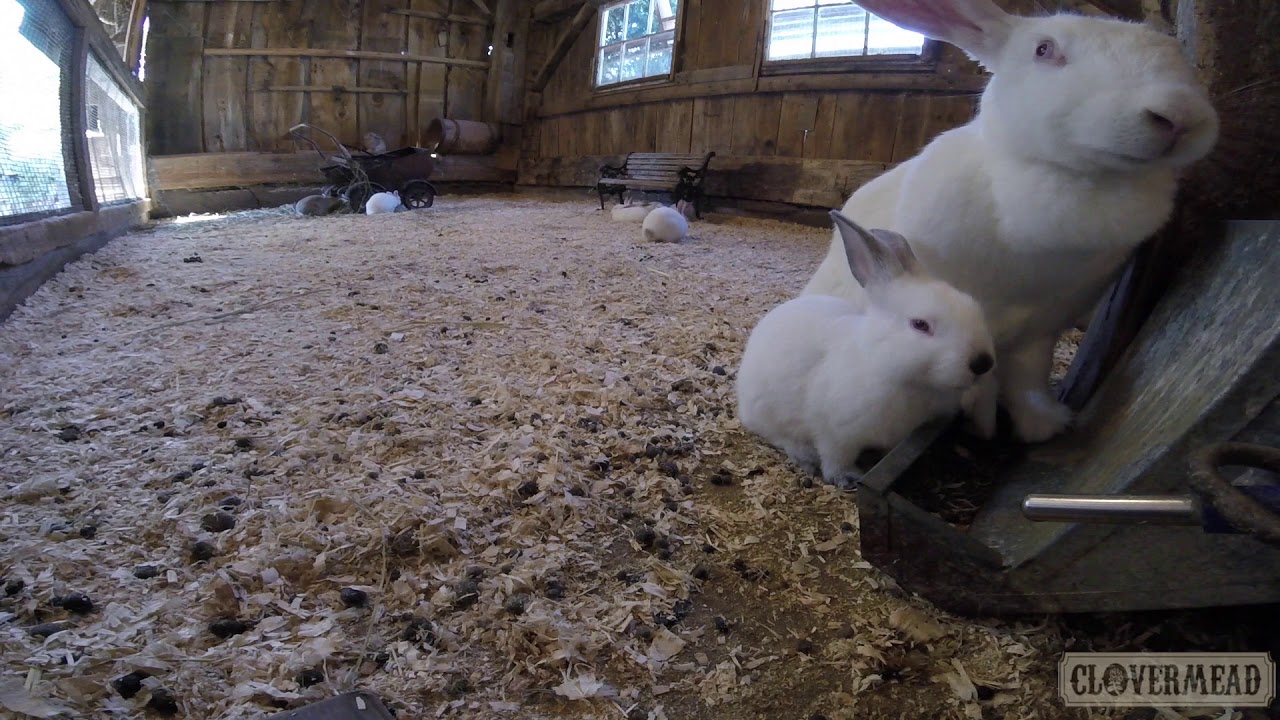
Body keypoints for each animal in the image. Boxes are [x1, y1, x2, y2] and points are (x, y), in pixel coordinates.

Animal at [737, 211, 996, 489]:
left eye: (972, 305)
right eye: (920, 324)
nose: (983, 363)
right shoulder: (836, 434)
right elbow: (835, 458)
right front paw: (847, 478)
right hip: (766, 411)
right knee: (777, 435)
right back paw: (804, 456)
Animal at [800, 0, 1219, 444]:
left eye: (1175, 50)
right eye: (1043, 49)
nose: (1179, 115)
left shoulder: (1040, 330)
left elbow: (1028, 378)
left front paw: (1042, 425)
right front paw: (979, 418)